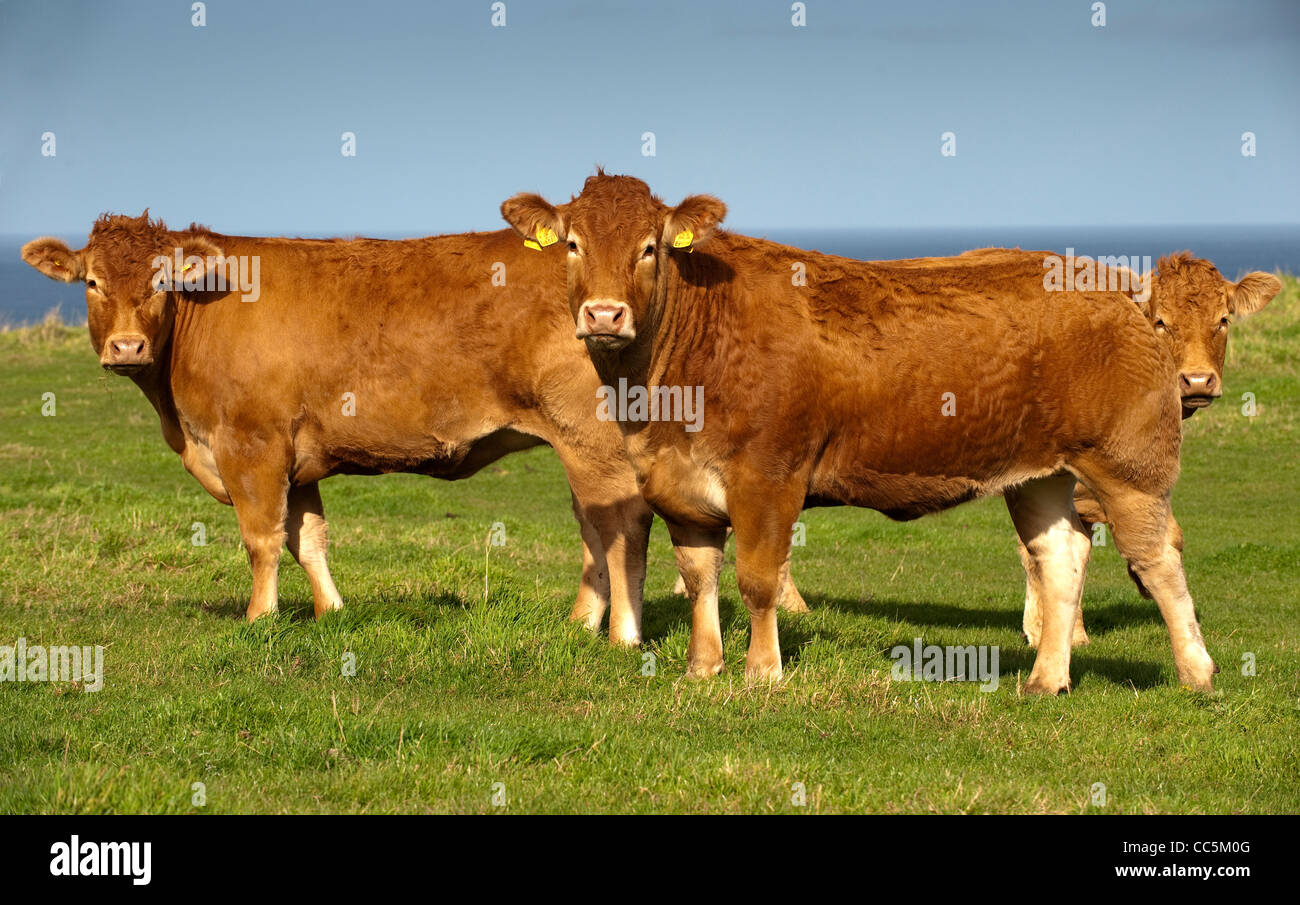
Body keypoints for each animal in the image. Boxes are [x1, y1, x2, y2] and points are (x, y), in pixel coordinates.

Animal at [21, 210, 665, 637]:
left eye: (160, 283)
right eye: (92, 283)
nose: (126, 347)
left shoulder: (251, 446)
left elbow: (261, 538)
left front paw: (258, 619)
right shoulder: (294, 459)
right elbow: (307, 539)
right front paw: (330, 610)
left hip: (589, 438)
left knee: (620, 526)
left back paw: (617, 635)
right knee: (594, 527)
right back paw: (582, 623)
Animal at [504, 178, 1216, 702]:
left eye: (650, 247)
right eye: (571, 243)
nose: (604, 313)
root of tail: (1118, 292)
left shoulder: (768, 475)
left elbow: (758, 578)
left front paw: (763, 671)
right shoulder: (677, 482)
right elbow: (700, 576)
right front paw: (702, 667)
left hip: (1130, 465)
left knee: (1159, 558)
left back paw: (1197, 673)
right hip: (1040, 474)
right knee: (1060, 559)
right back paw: (1047, 679)